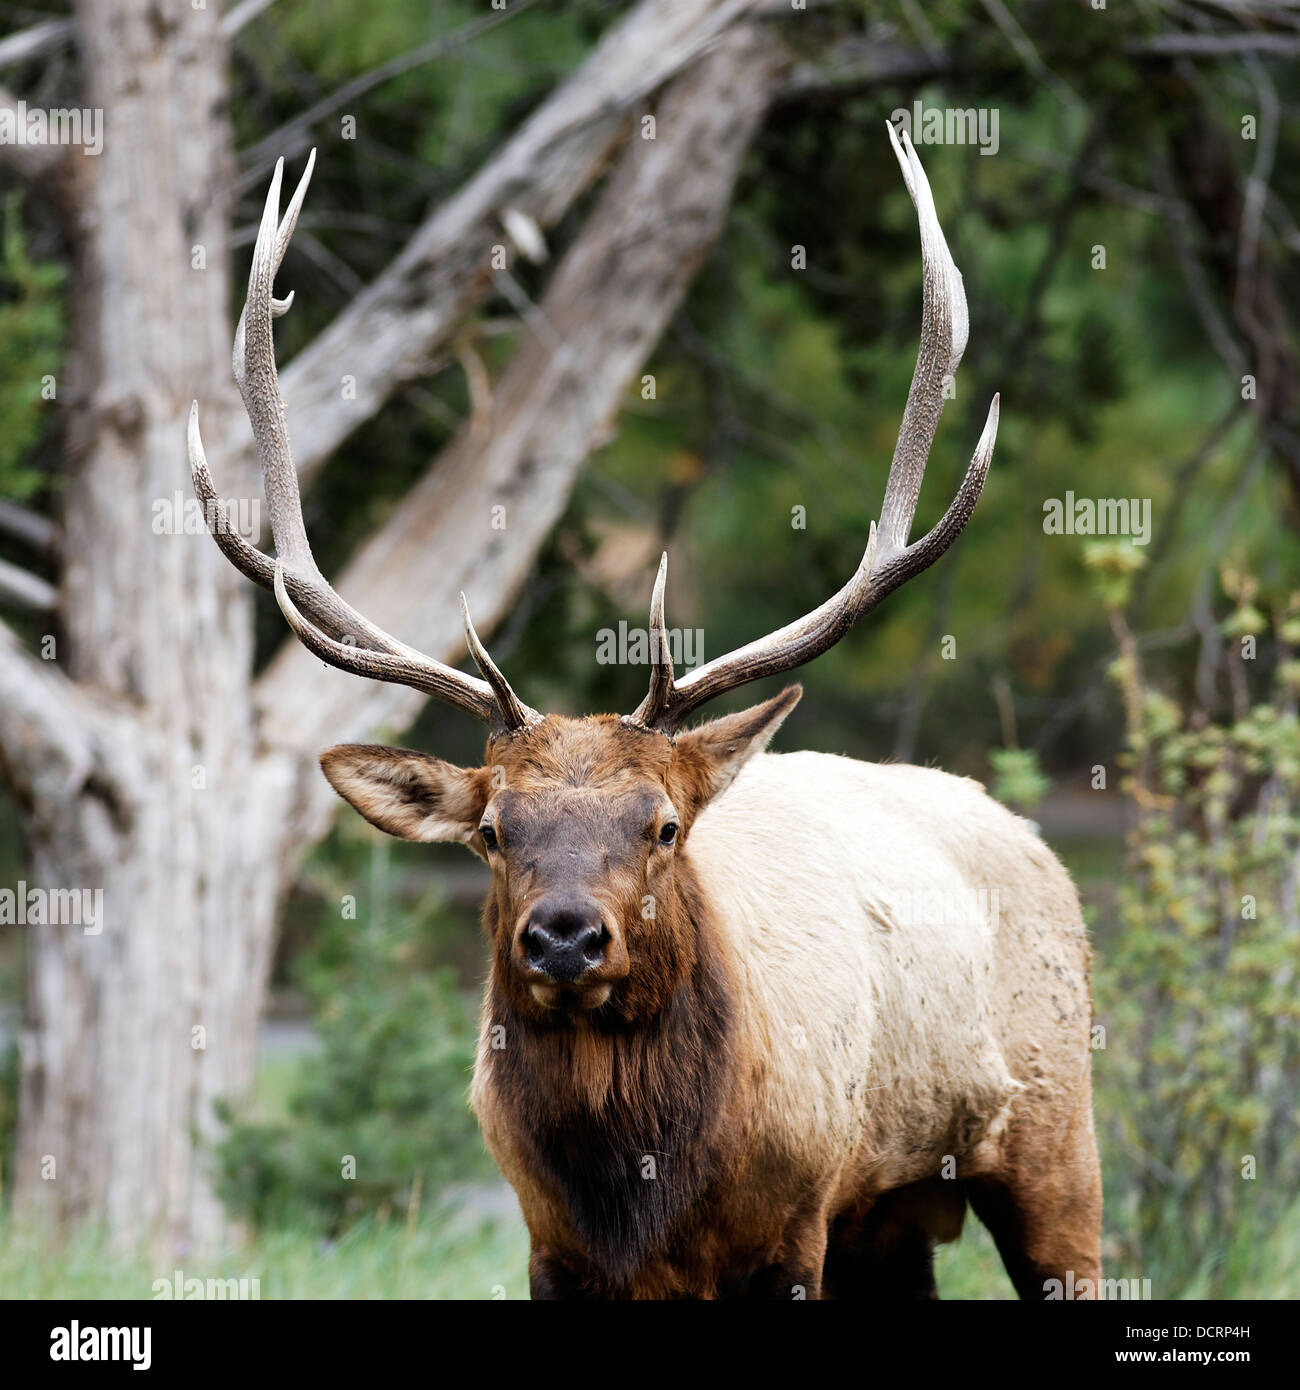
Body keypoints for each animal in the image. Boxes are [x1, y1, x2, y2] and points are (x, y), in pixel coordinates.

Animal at [189, 125, 1102, 1300]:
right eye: (494, 831)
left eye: (663, 826)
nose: (566, 936)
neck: (644, 1192)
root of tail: (1030, 838)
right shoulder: (550, 1246)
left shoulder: (794, 1224)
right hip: (890, 1217)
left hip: (1052, 1142)